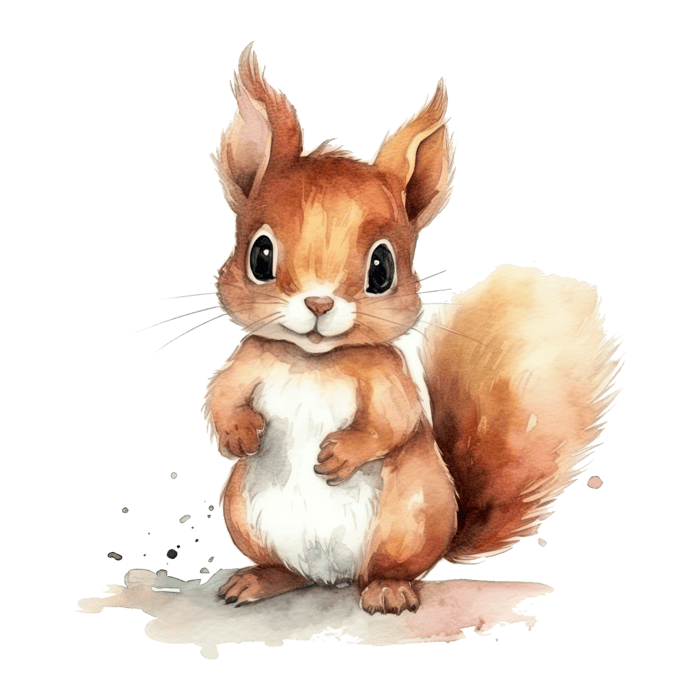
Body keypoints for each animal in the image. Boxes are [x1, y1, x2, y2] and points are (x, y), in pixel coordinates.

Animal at [200, 42, 622, 615]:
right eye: (260, 256)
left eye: (382, 269)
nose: (318, 302)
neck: (314, 360)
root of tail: (333, 578)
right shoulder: (250, 361)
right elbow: (220, 395)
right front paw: (239, 433)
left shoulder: (386, 377)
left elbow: (394, 420)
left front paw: (341, 453)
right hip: (244, 515)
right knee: (287, 570)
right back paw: (259, 580)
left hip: (409, 518)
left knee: (390, 569)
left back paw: (389, 591)